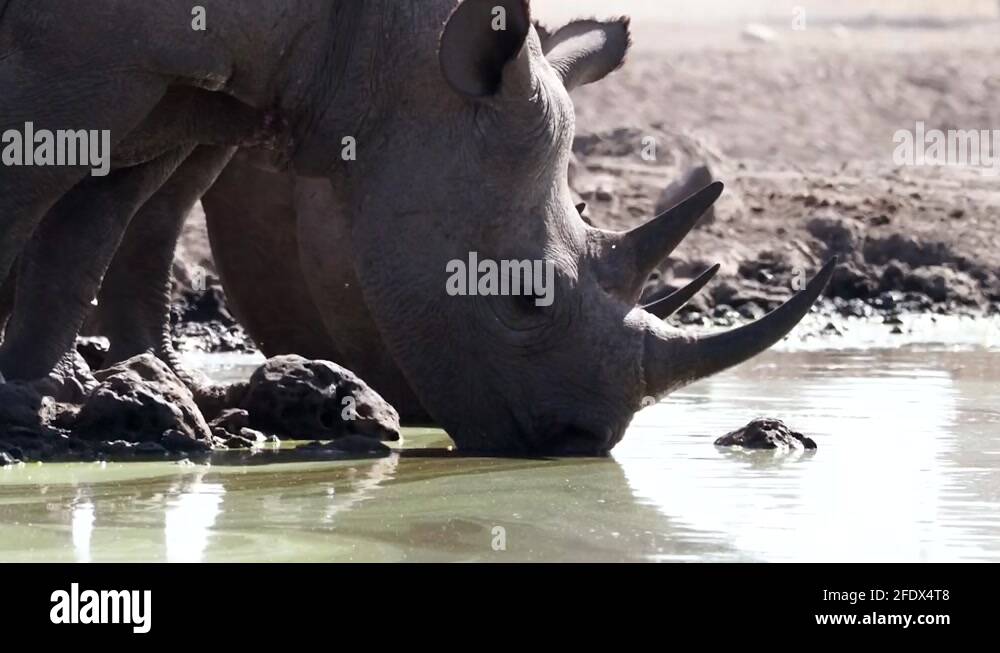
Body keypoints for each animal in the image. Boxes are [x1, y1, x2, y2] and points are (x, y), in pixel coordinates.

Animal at [0, 0, 834, 454]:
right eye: (524, 299)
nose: (580, 443)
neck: (380, 46)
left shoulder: (177, 81)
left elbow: (96, 227)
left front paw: (51, 389)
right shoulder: (81, 53)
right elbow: (27, 190)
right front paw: (31, 407)